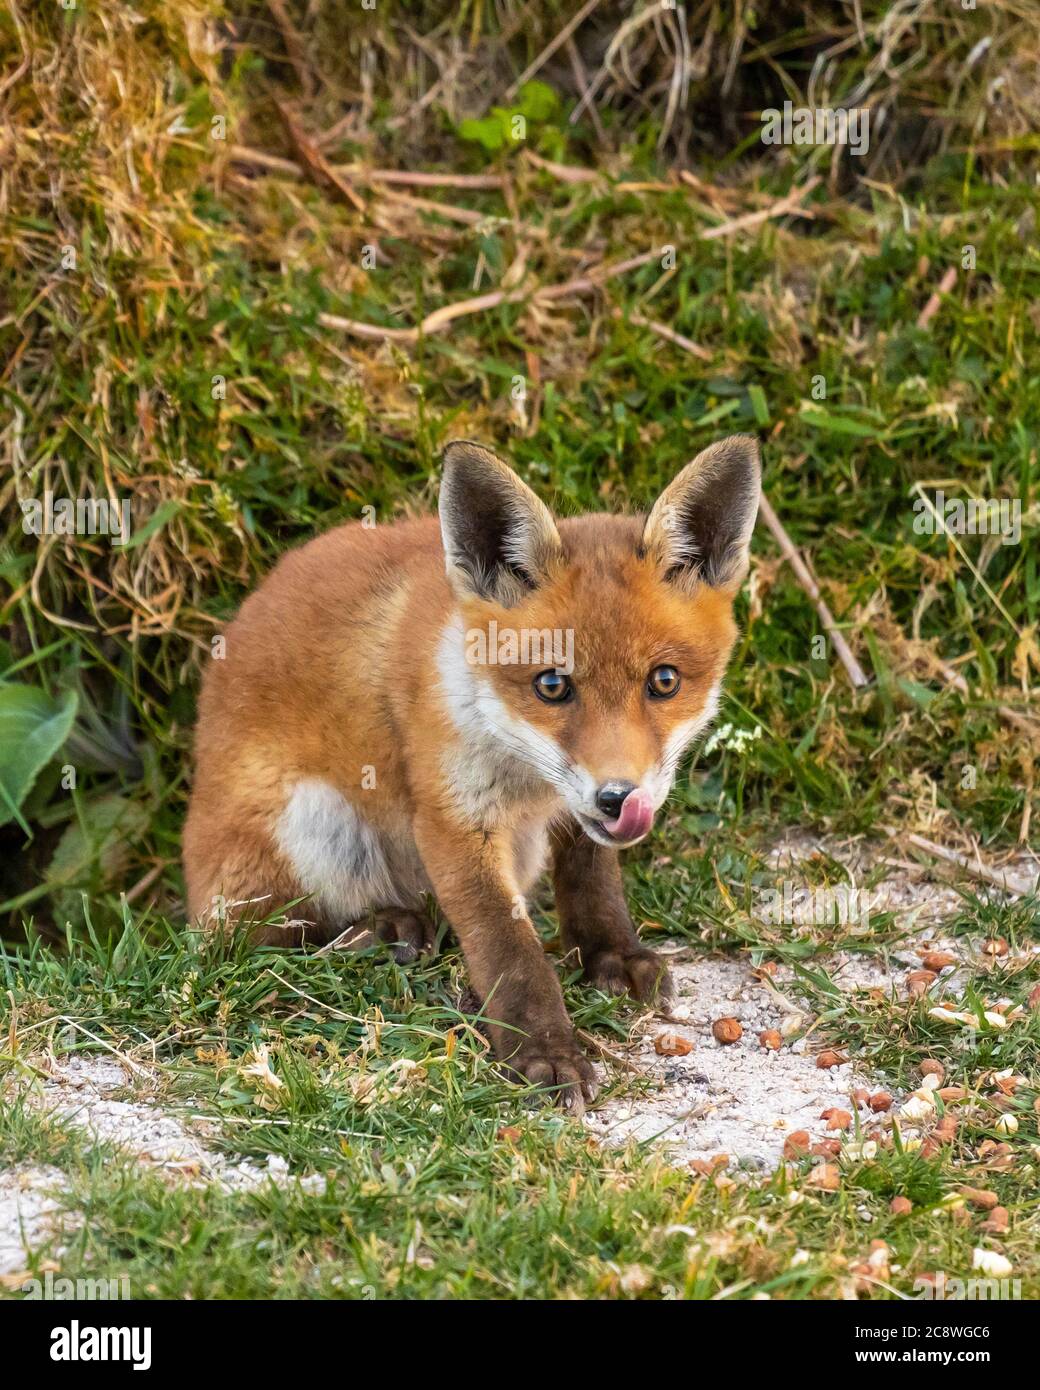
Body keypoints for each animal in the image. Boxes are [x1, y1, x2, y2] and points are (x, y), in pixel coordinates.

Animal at [183, 433, 761, 1111]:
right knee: (243, 940)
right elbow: (509, 950)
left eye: (664, 681)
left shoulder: (570, 809)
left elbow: (592, 884)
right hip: (309, 822)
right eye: (552, 685)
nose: (619, 798)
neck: (525, 774)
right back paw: (375, 932)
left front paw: (611, 955)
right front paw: (544, 1051)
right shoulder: (453, 817)